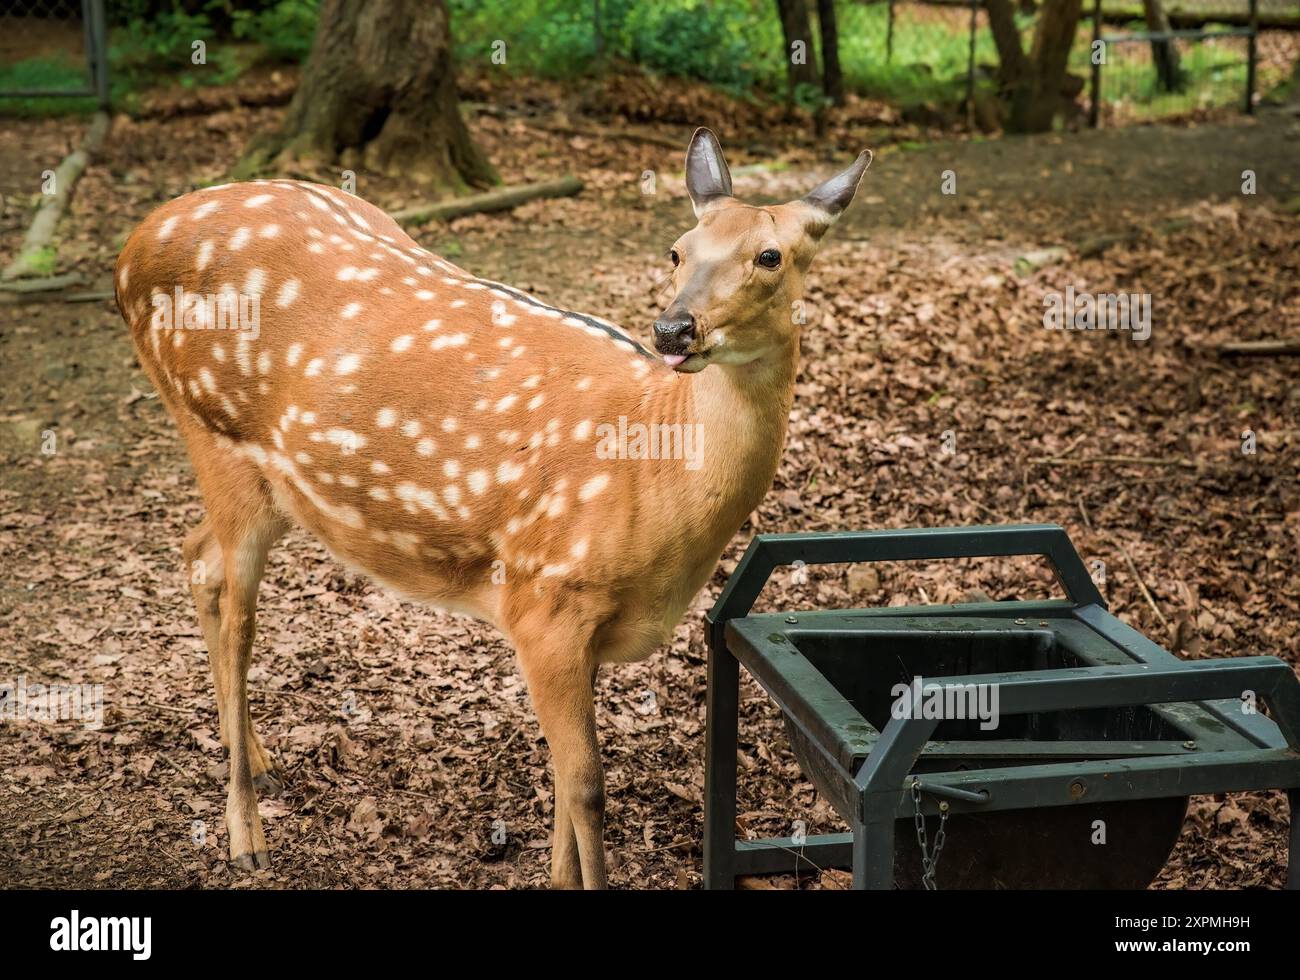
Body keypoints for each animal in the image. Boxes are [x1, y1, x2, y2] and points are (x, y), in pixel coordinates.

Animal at [115, 128, 871, 888]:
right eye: (677, 248)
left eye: (770, 256)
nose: (673, 329)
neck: (653, 487)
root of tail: (133, 244)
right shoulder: (546, 597)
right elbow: (588, 787)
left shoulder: (578, 623)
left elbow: (566, 783)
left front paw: (557, 879)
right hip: (215, 430)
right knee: (235, 611)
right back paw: (247, 833)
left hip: (268, 483)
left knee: (196, 558)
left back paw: (261, 759)